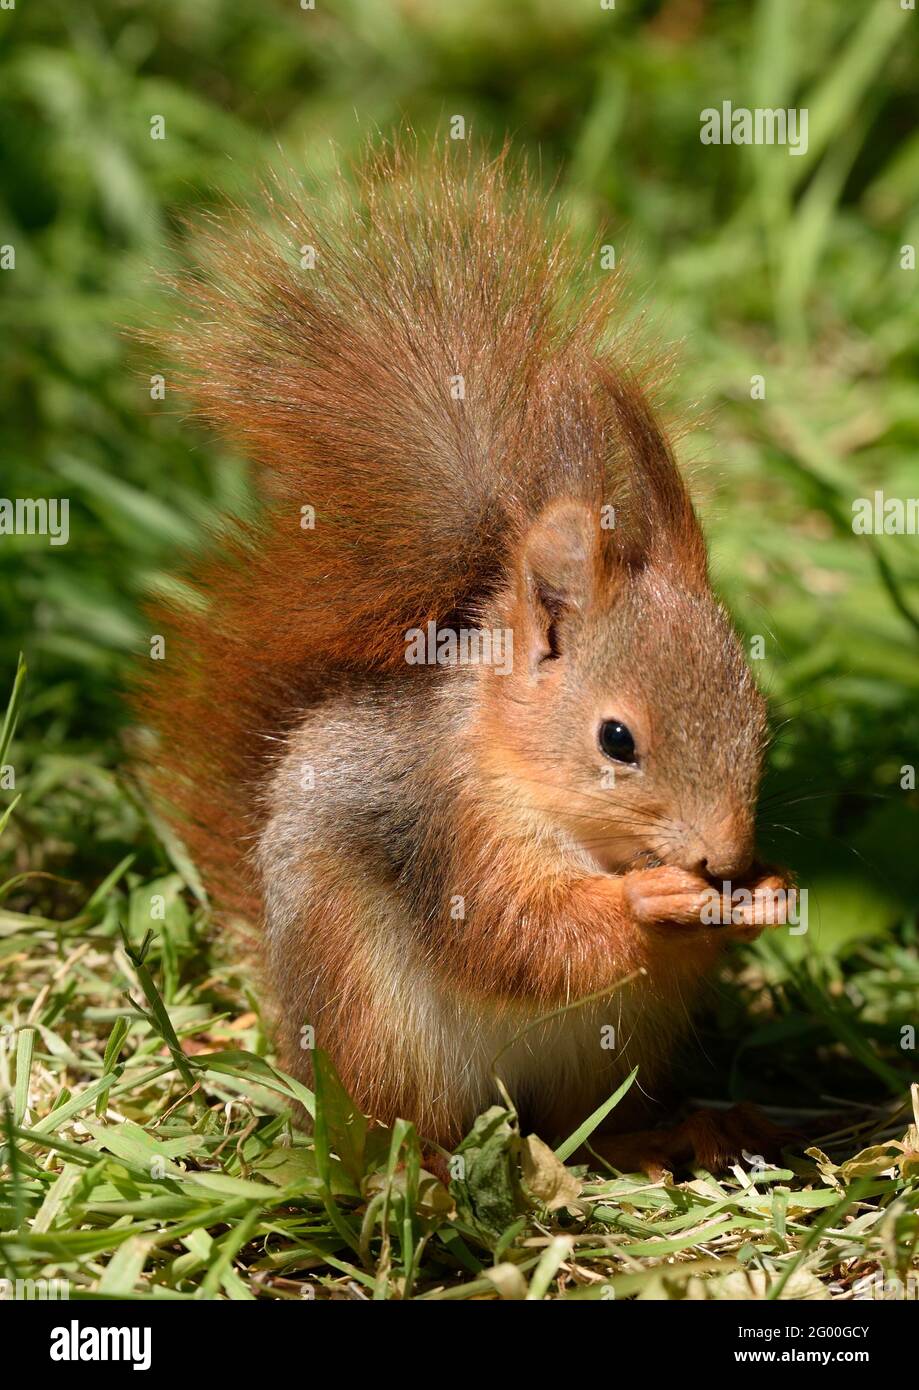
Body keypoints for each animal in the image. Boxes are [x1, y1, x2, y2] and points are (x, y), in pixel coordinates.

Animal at [139, 141, 791, 1170]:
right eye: (615, 740)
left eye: (760, 719)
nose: (722, 857)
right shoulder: (448, 832)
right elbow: (513, 937)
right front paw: (649, 899)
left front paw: (762, 892)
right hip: (378, 1029)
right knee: (401, 1132)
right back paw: (435, 1173)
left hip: (618, 1048)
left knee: (584, 1127)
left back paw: (670, 1134)